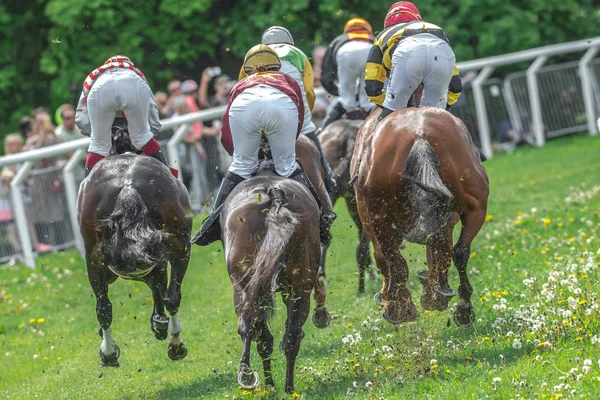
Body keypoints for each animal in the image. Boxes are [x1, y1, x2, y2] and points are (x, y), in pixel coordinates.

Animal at [76, 120, 191, 368]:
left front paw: (157, 323)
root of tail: (127, 186)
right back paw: (175, 342)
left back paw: (109, 352)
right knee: (173, 296)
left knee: (104, 308)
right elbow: (161, 289)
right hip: (180, 244)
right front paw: (159, 323)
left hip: (96, 259)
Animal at [223, 166, 330, 394]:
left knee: (257, 329)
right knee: (291, 335)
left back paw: (255, 376)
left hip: (249, 287)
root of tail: (274, 193)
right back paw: (285, 386)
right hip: (297, 288)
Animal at [352, 108, 488, 326]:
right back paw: (458, 305)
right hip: (476, 208)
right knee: (459, 252)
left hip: (379, 217)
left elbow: (385, 259)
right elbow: (443, 252)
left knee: (395, 261)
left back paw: (401, 307)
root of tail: (419, 134)